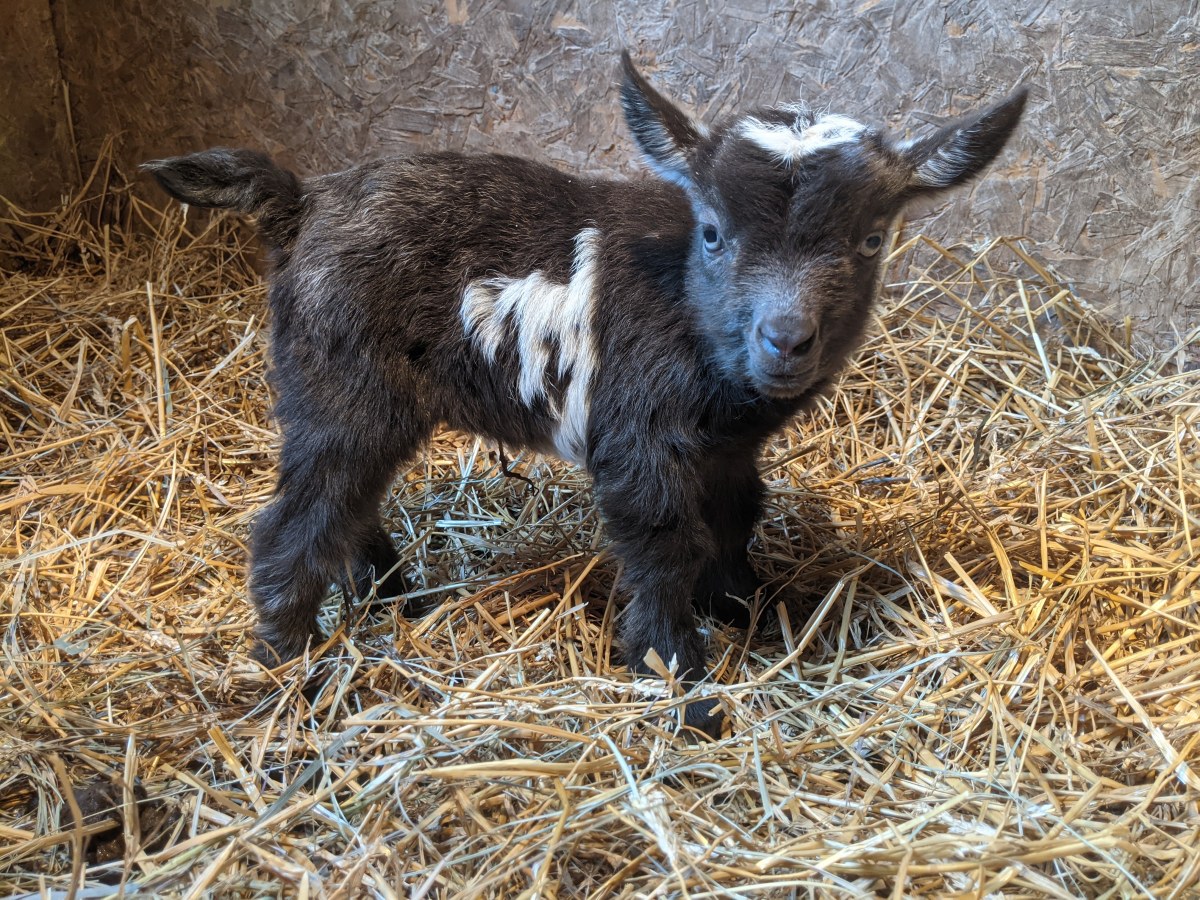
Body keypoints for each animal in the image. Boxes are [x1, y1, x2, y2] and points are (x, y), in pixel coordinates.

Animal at [145, 52, 1026, 736]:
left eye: (872, 239)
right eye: (714, 231)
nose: (785, 339)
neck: (688, 312)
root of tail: (301, 202)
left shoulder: (725, 448)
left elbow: (736, 518)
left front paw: (748, 609)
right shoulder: (639, 438)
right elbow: (664, 546)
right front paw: (683, 688)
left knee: (345, 503)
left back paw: (394, 598)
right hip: (337, 385)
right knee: (296, 523)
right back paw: (286, 670)